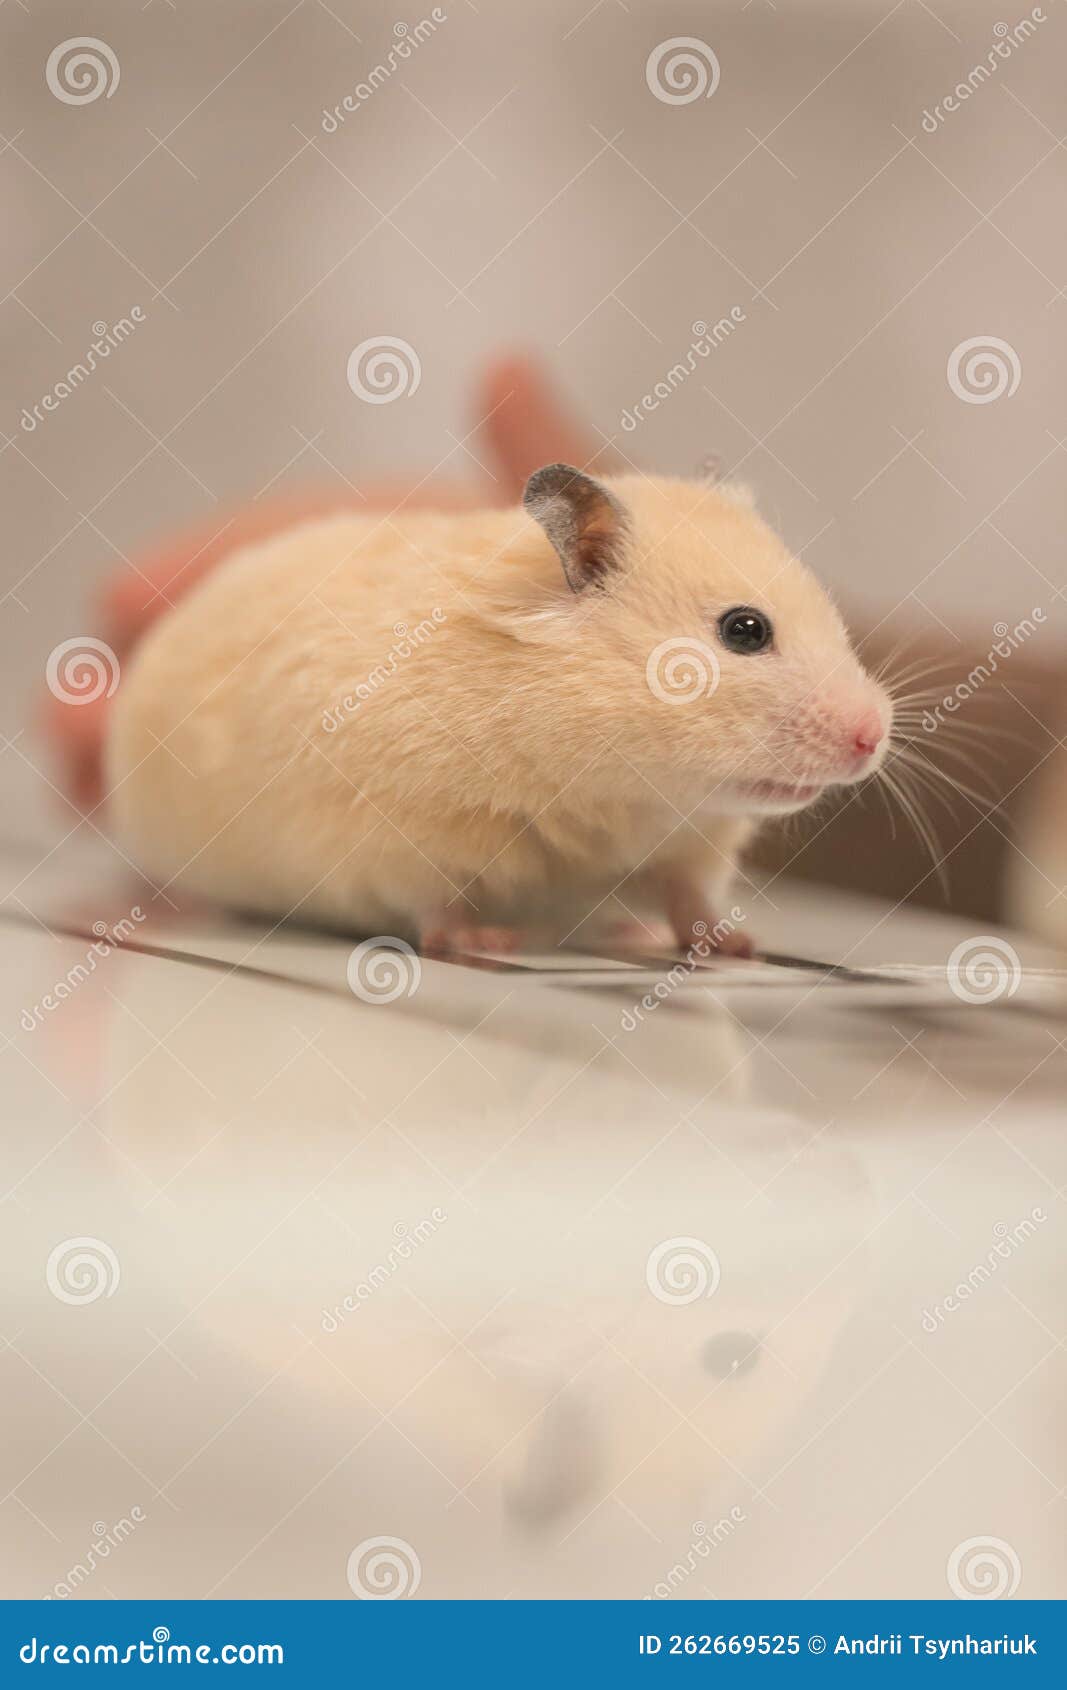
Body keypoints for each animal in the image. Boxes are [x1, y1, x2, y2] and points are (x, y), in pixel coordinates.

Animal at [106, 467, 892, 954]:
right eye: (744, 630)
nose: (873, 737)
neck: (622, 791)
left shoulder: (690, 844)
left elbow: (691, 900)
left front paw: (740, 946)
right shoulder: (401, 831)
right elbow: (435, 901)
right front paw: (485, 943)